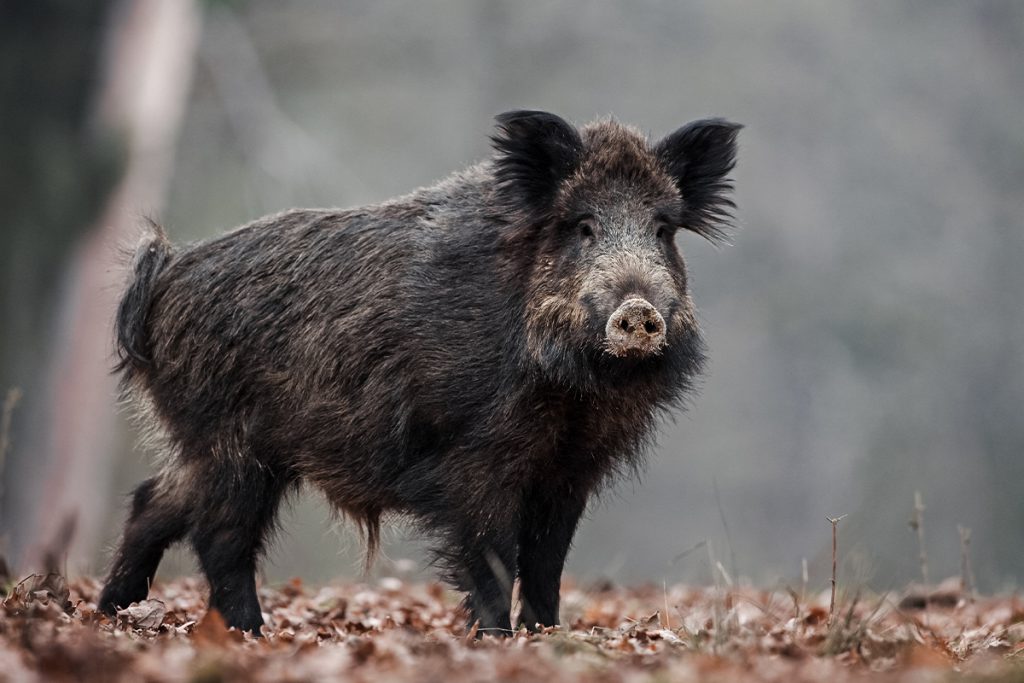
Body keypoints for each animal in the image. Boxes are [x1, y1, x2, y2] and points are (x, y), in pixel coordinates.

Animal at [98, 110, 741, 635]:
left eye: (662, 229)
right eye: (581, 225)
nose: (639, 310)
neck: (571, 393)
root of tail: (165, 272)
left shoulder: (570, 469)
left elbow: (546, 563)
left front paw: (547, 635)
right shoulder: (475, 459)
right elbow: (491, 557)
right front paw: (496, 640)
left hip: (219, 447)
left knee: (156, 500)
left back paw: (114, 614)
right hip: (230, 443)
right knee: (219, 536)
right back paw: (249, 633)